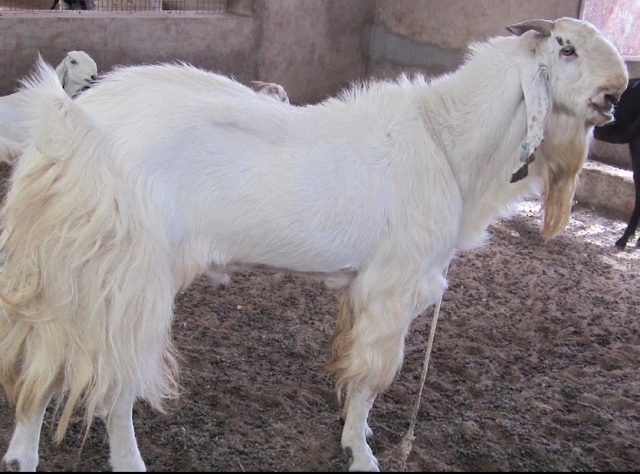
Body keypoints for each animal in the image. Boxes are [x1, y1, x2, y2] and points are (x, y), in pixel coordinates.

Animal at [0, 18, 627, 472]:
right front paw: (361, 452)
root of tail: (69, 126)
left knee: (46, 360)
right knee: (111, 380)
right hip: (126, 276)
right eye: (566, 48)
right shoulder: (393, 286)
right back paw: (124, 461)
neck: (445, 144)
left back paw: (21, 455)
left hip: (71, 272)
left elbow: (353, 368)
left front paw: (358, 430)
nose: (615, 92)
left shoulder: (365, 286)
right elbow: (373, 376)